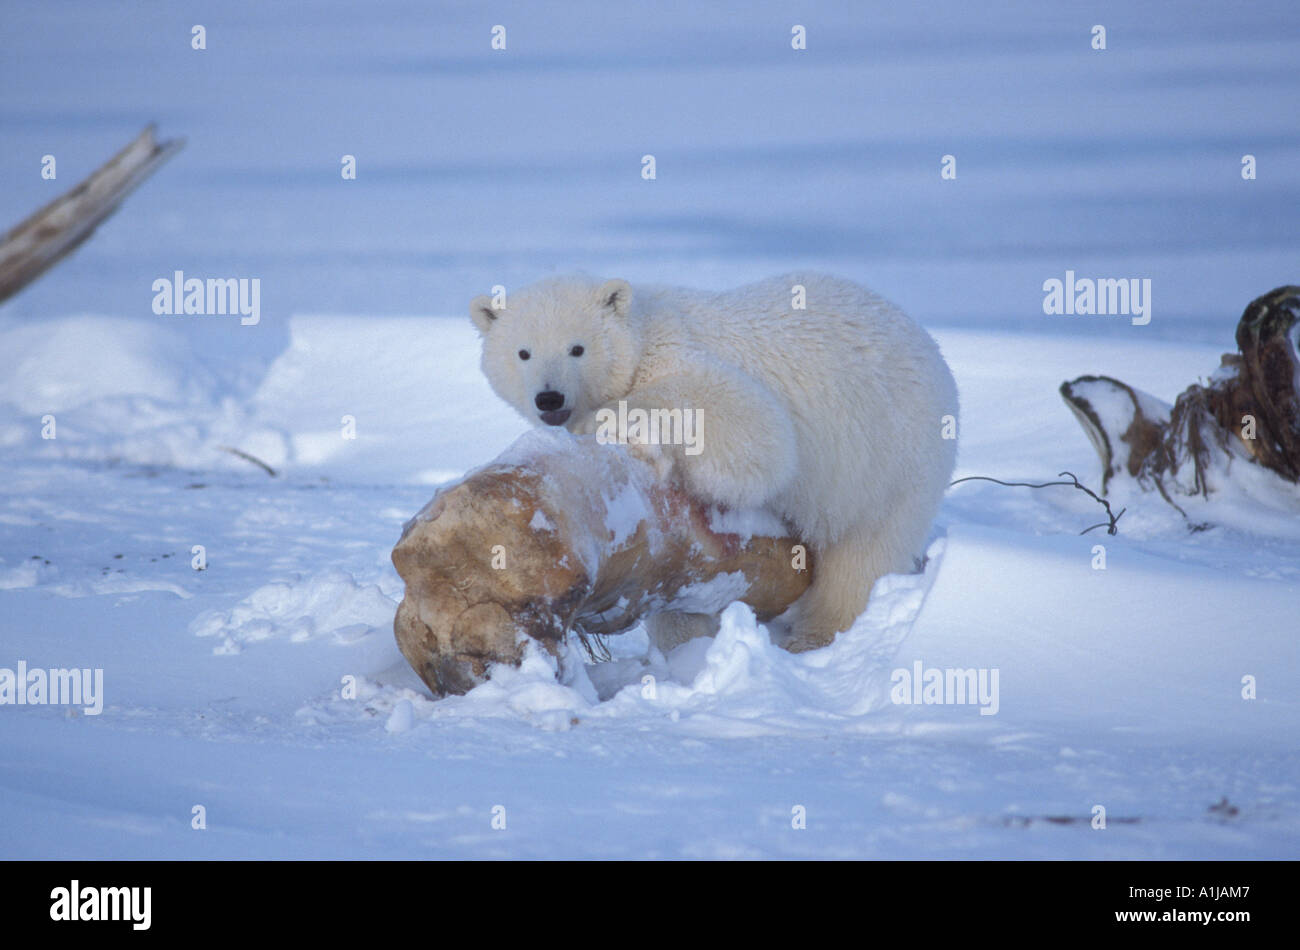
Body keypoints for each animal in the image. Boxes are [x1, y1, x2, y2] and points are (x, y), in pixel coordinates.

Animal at [469, 273, 959, 654]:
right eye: (523, 353)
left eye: (577, 348)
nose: (549, 398)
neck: (644, 333)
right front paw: (687, 648)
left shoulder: (681, 357)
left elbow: (752, 429)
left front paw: (611, 419)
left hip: (891, 458)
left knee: (861, 559)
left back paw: (814, 636)